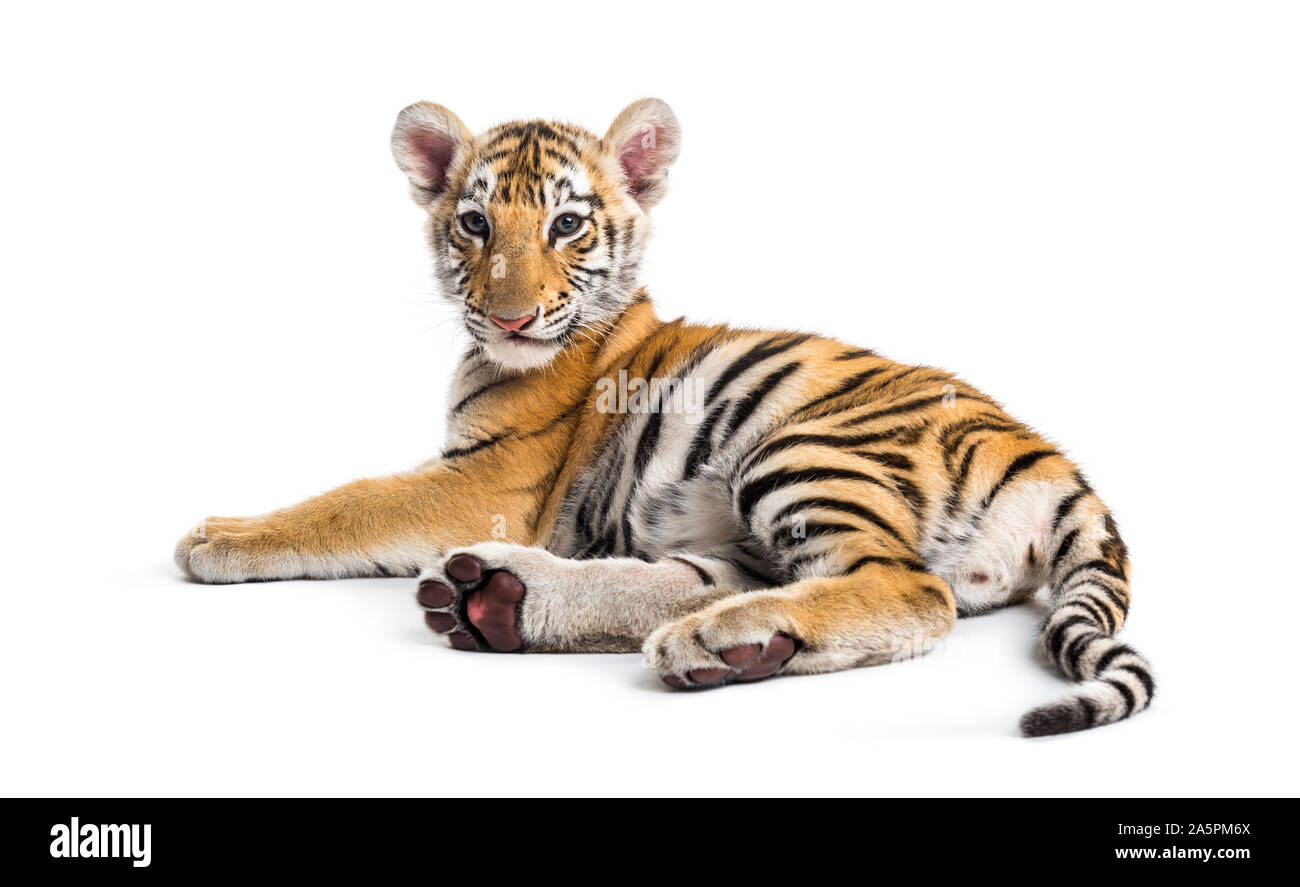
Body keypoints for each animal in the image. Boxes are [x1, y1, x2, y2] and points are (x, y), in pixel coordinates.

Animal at [175, 98, 1155, 736]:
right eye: (474, 225)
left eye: (568, 225)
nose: (510, 319)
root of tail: (1061, 469)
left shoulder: (484, 479)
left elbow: (351, 499)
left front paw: (219, 536)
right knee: (714, 577)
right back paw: (510, 601)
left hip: (801, 447)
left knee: (909, 588)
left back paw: (706, 639)